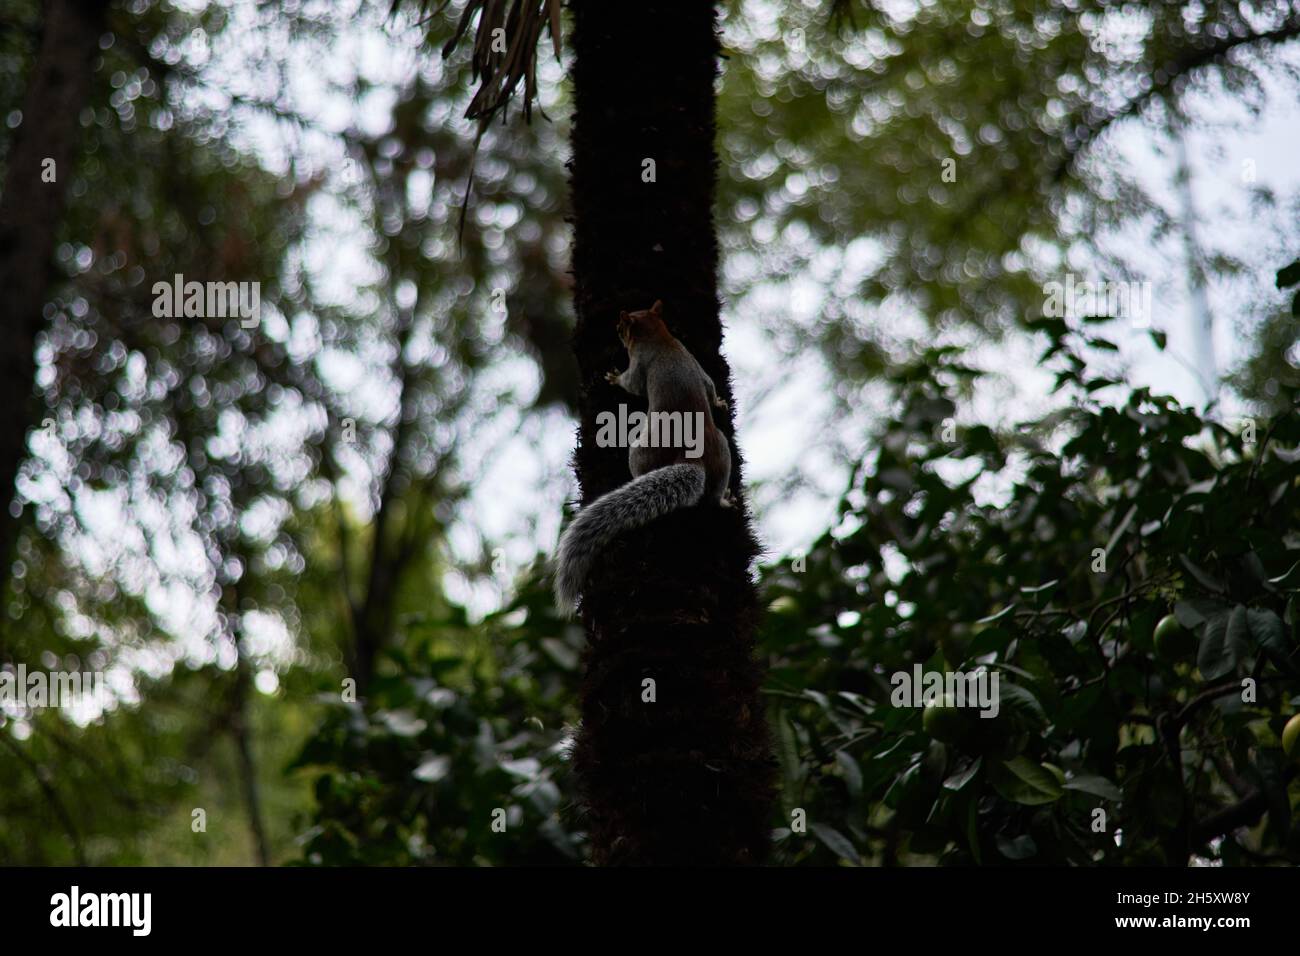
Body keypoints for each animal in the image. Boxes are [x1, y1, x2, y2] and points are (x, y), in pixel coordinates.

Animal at [553, 300, 733, 612]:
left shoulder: (639, 367)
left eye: (620, 326)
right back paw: (726, 499)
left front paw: (613, 377)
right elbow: (710, 388)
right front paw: (720, 401)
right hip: (723, 453)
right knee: (713, 496)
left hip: (640, 451)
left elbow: (630, 383)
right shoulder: (697, 366)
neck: (661, 338)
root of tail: (694, 459)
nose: (615, 328)